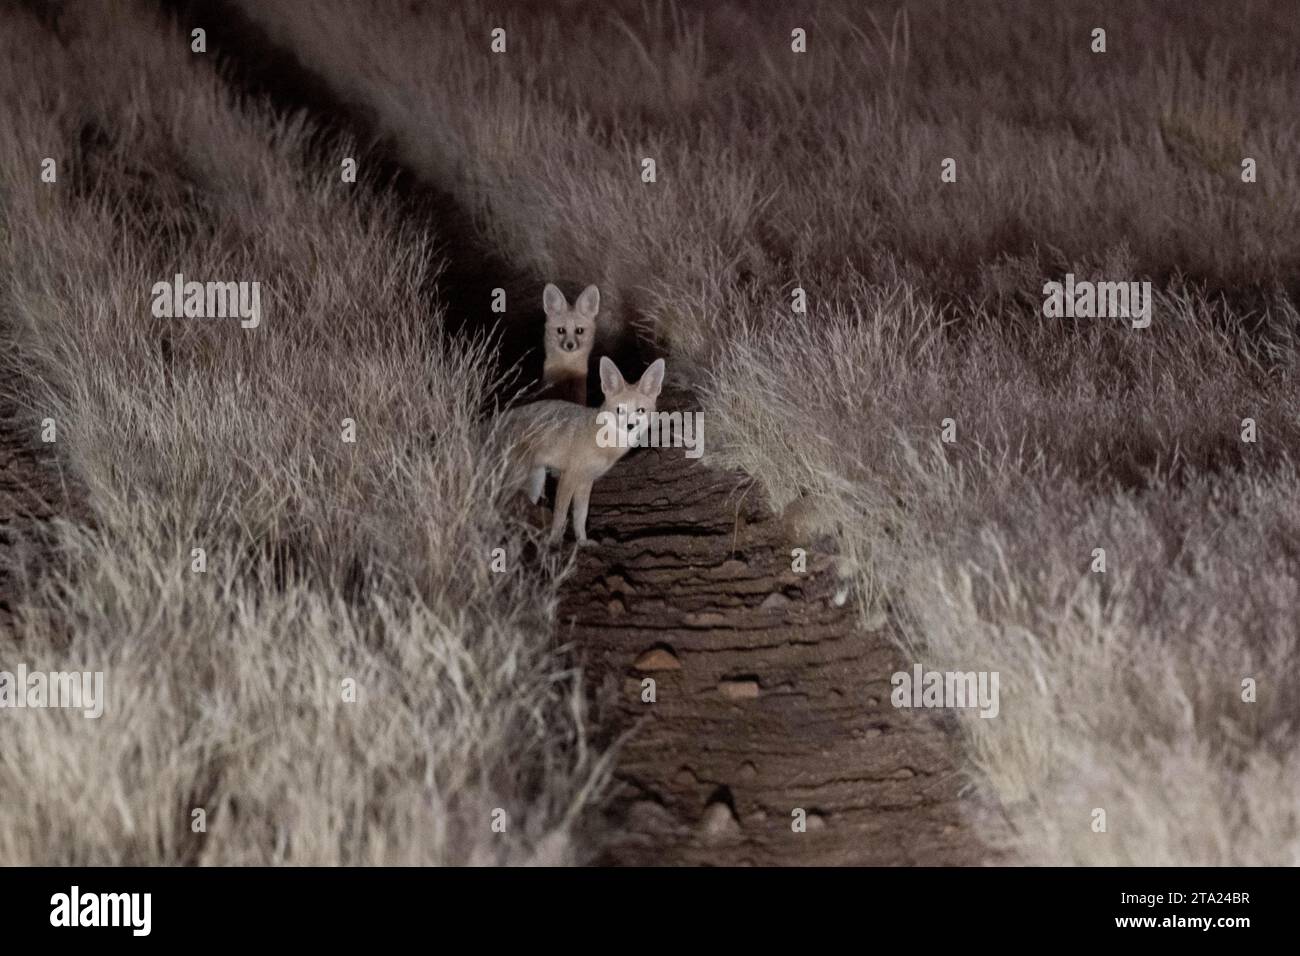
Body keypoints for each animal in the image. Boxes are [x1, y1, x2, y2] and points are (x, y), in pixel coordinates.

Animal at [501, 355, 666, 545]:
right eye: (619, 410)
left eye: (640, 410)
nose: (630, 426)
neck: (604, 443)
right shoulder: (568, 477)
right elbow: (561, 514)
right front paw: (555, 540)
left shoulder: (586, 481)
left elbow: (581, 515)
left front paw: (582, 541)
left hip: (535, 484)